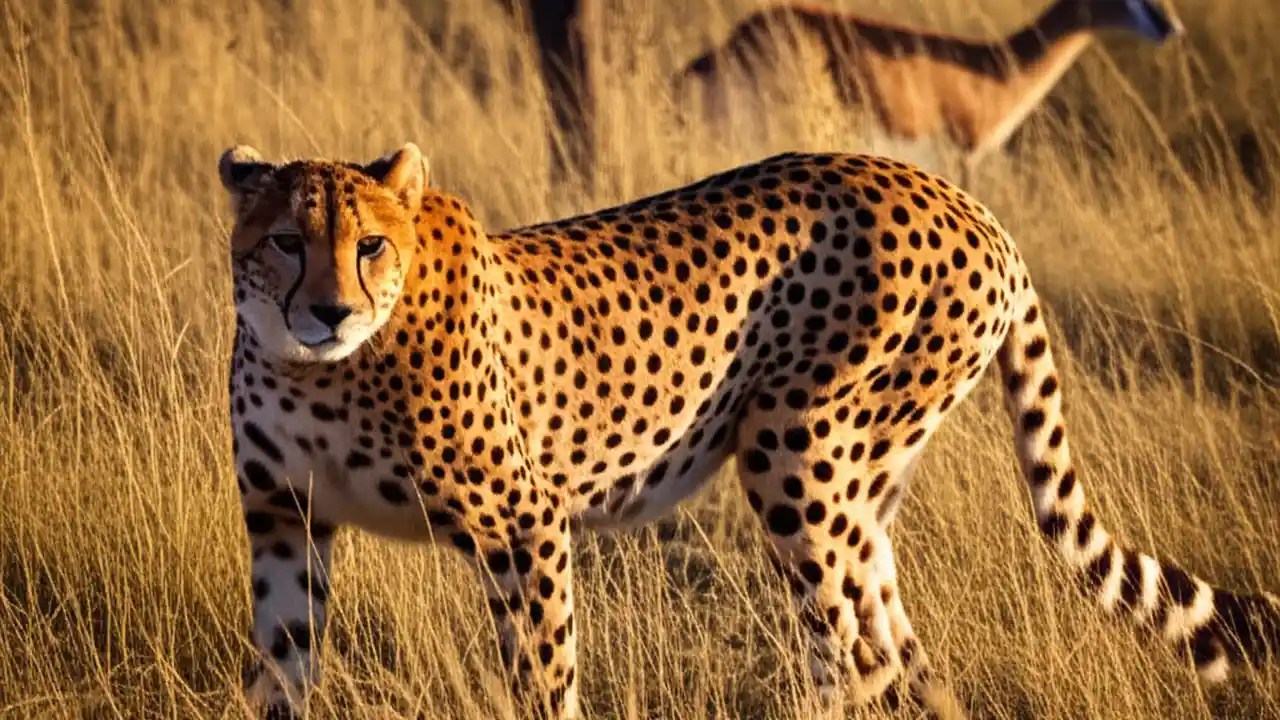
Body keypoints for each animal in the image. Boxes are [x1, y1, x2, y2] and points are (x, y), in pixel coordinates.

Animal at [218, 142, 1278, 719]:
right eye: (286, 242)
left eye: (370, 245)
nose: (329, 312)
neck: (320, 370)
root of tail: (960, 198)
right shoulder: (284, 518)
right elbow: (283, 669)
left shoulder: (524, 526)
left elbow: (544, 679)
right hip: (859, 488)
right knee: (894, 647)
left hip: (795, 449)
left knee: (852, 656)